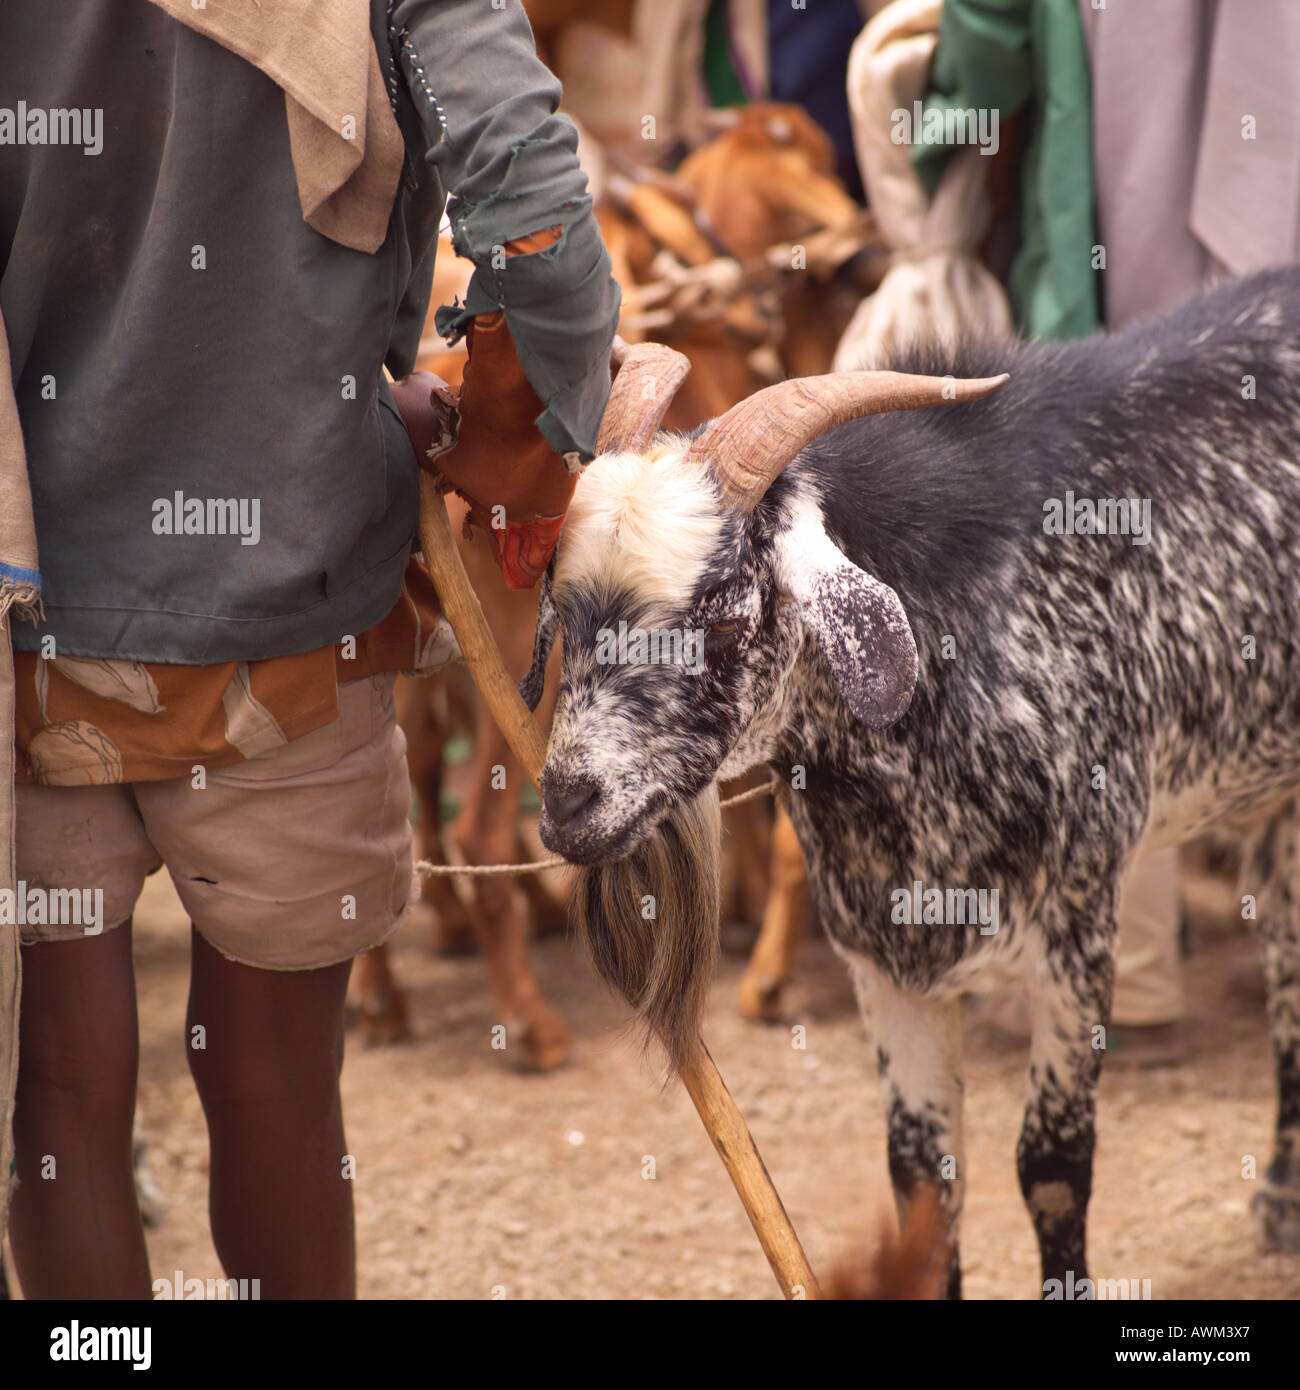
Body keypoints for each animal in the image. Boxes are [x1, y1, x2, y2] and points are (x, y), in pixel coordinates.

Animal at [522, 268, 1300, 1296]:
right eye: (562, 609)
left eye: (722, 618)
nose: (569, 803)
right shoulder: (881, 957)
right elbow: (924, 1181)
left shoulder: (1078, 930)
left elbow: (1053, 1164)